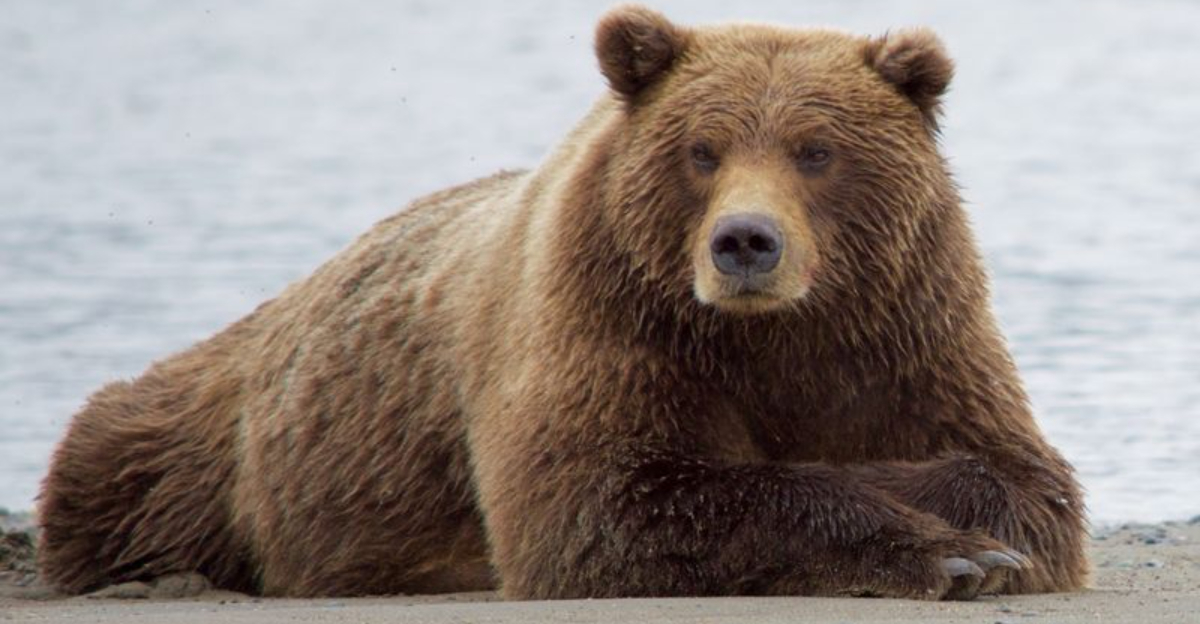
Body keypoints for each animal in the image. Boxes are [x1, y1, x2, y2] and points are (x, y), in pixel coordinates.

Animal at [37, 5, 1087, 600]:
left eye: (815, 150)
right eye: (703, 149)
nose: (746, 242)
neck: (772, 335)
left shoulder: (907, 329)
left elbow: (1020, 476)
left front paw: (969, 533)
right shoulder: (607, 323)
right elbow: (603, 500)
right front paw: (950, 556)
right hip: (206, 441)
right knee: (120, 462)